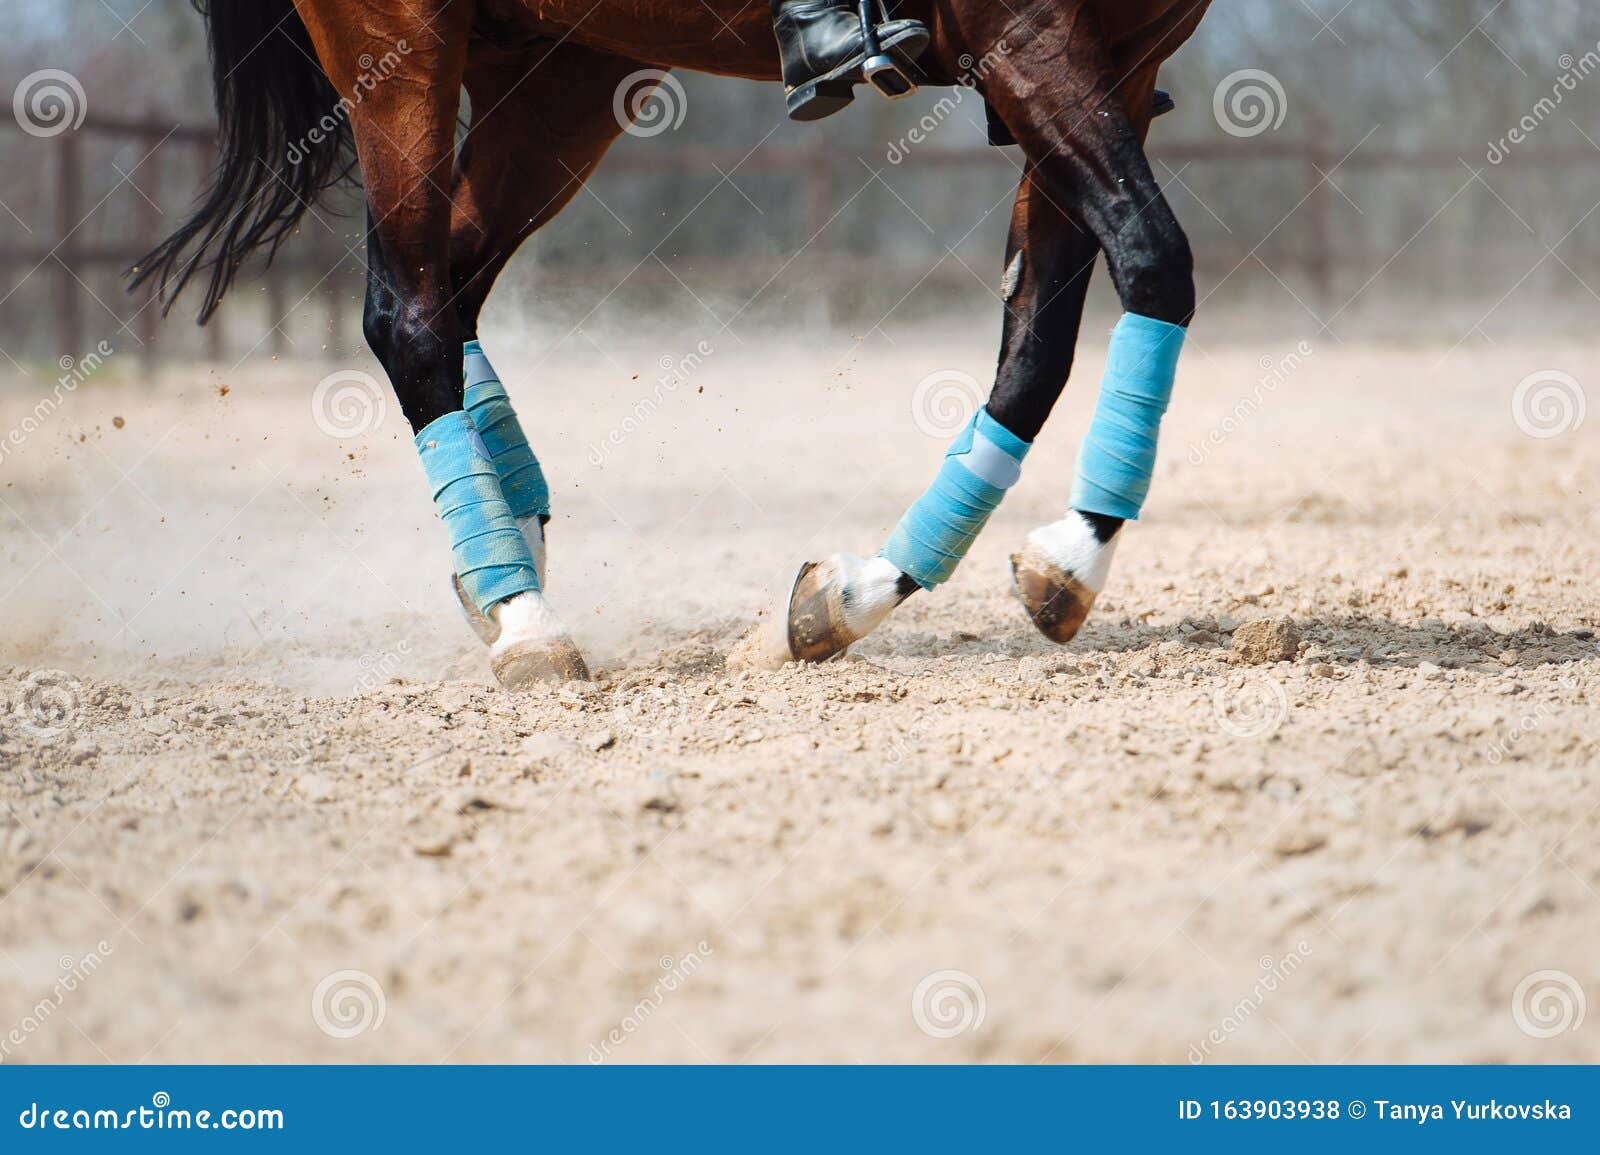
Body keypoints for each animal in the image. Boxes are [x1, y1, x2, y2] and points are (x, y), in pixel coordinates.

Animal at [133, 0, 1212, 687]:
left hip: (557, 78)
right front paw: (1070, 545)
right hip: (400, 49)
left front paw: (875, 589)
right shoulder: (1025, 33)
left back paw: (504, 562)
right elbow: (1156, 260)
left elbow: (1039, 346)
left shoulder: (1116, 61)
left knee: (455, 290)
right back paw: (524, 617)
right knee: (408, 315)